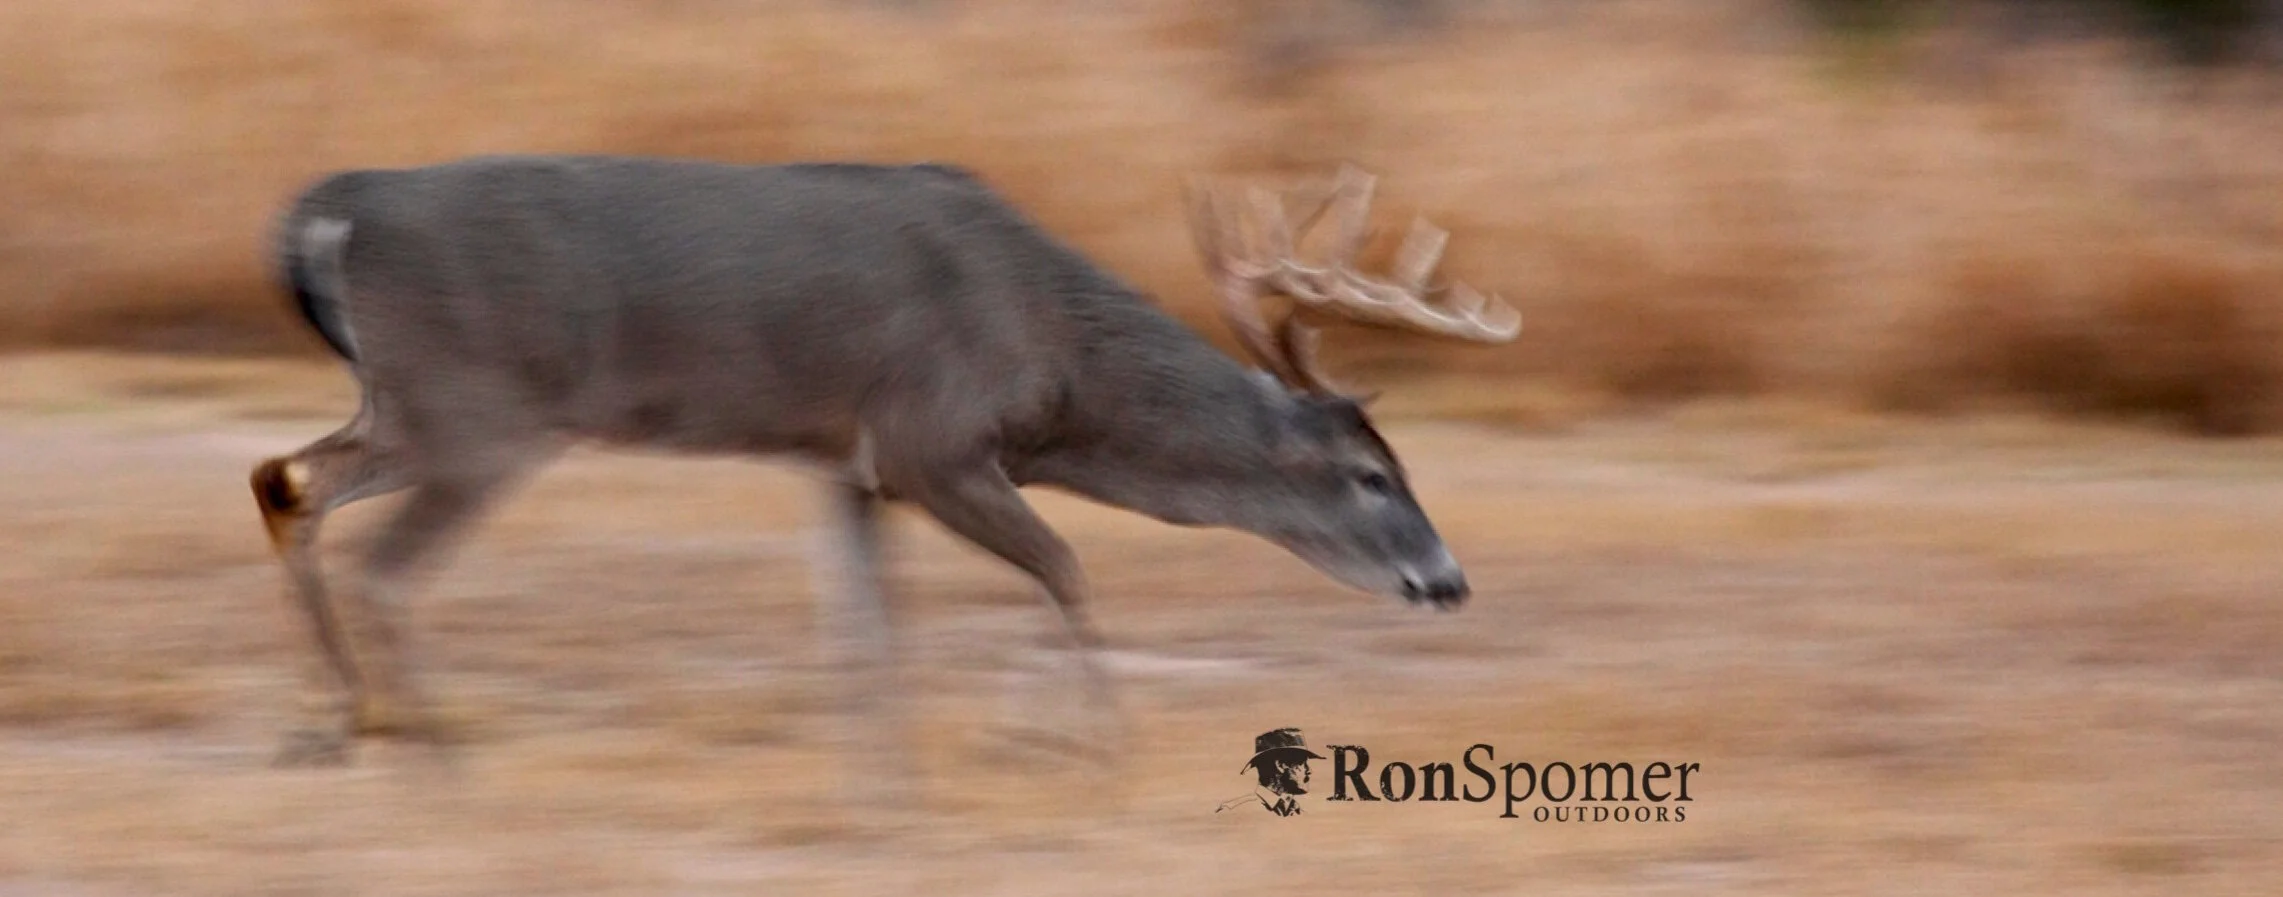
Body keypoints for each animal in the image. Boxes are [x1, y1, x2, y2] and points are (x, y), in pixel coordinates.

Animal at [247, 155, 1520, 774]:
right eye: (1371, 474)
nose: (1450, 580)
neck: (1053, 349)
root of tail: (330, 209)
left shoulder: (847, 468)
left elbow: (868, 639)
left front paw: (890, 781)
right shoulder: (932, 443)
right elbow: (1067, 571)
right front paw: (1082, 746)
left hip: (411, 404)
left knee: (282, 481)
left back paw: (335, 727)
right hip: (477, 412)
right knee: (379, 563)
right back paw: (430, 747)